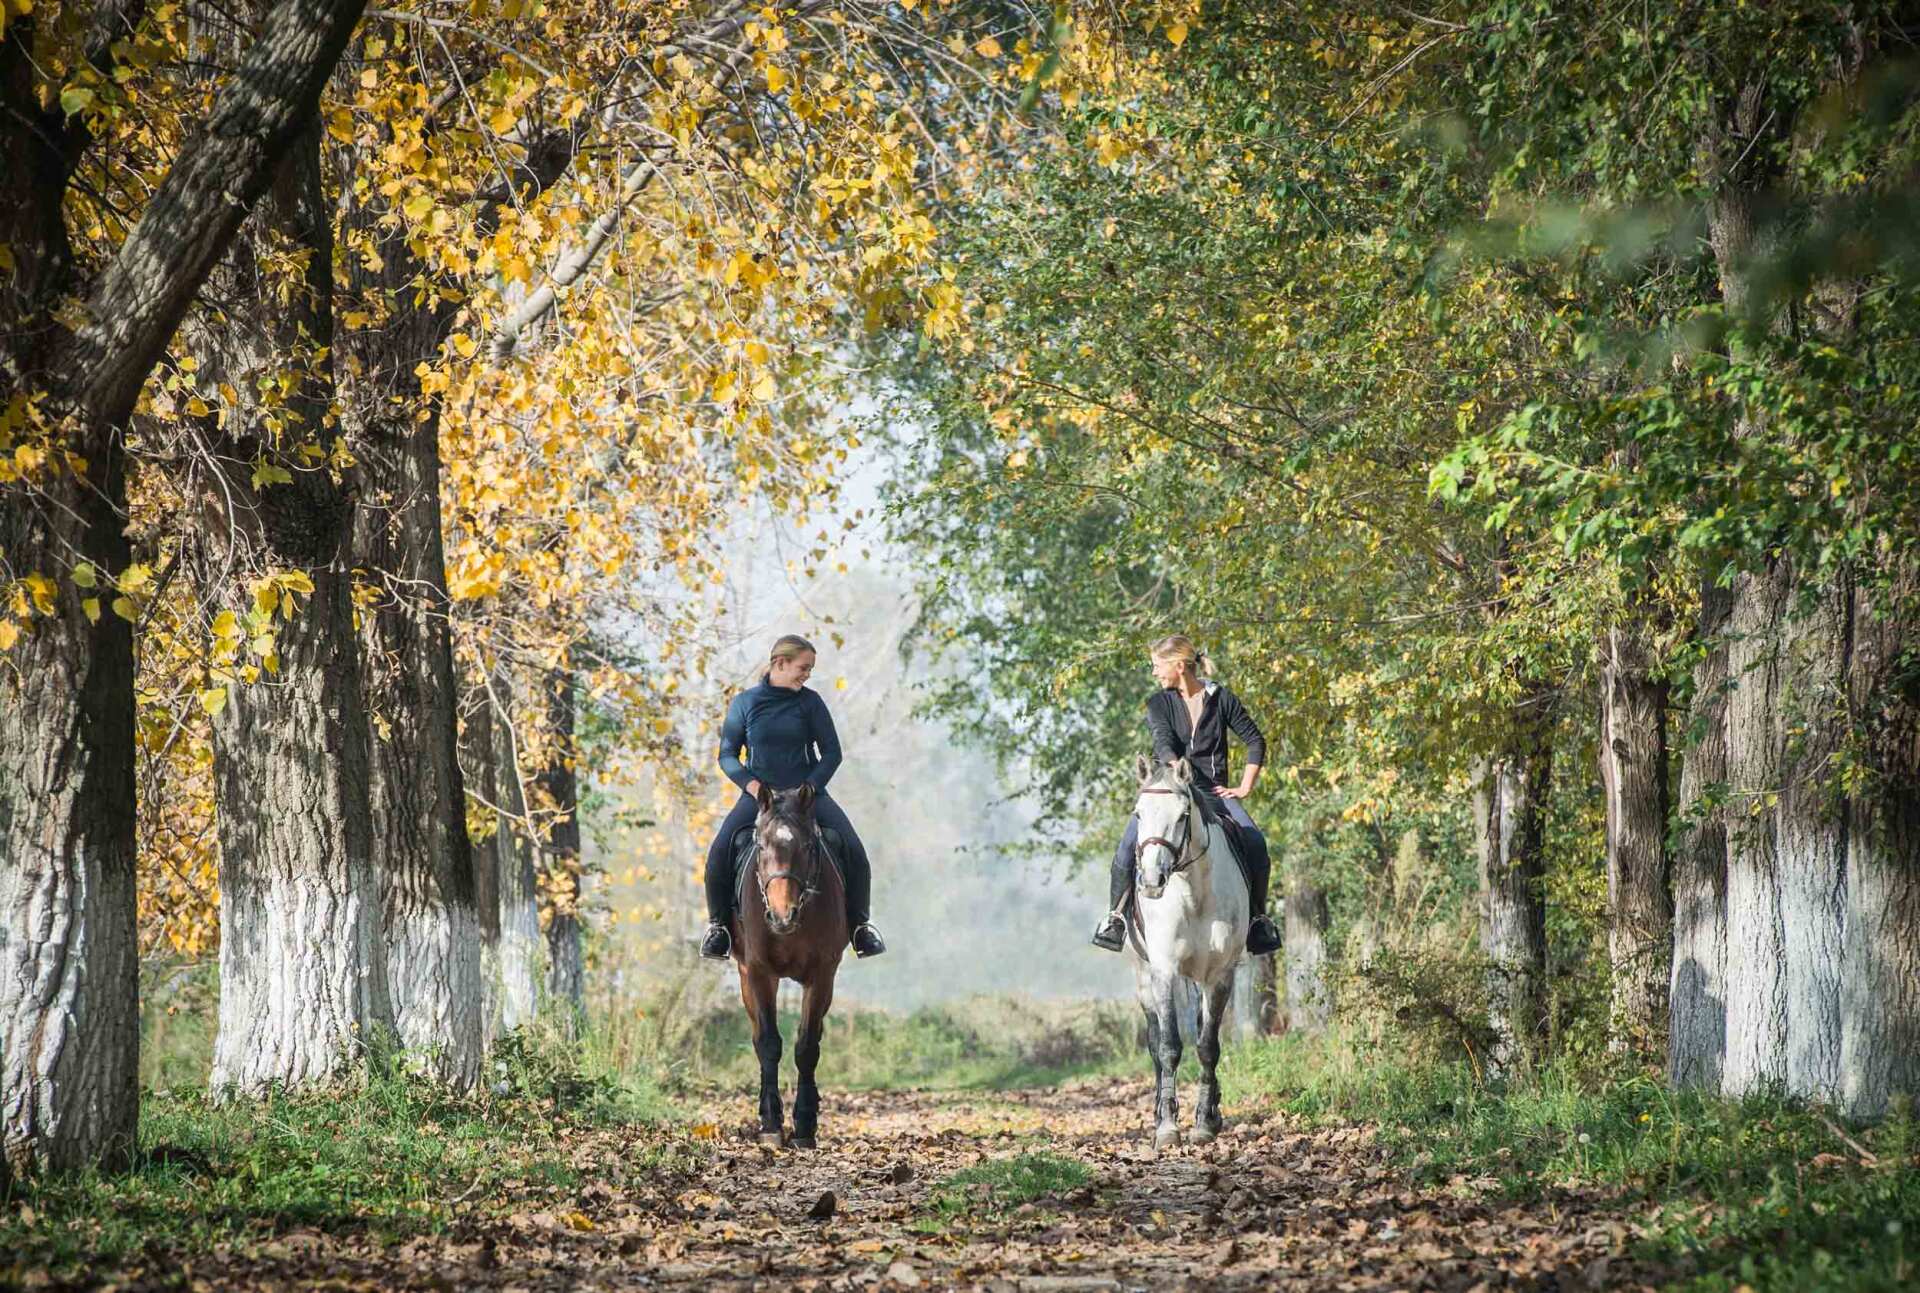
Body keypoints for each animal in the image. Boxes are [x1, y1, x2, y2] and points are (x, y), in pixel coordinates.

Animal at [730, 782, 847, 1148]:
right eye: (761, 845)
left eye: (808, 846)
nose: (783, 916)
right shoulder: (759, 971)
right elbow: (769, 1043)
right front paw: (771, 1124)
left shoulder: (822, 974)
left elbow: (807, 1046)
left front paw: (805, 1125)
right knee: (758, 1038)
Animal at [1125, 754, 1251, 1150]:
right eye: (1138, 814)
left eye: (1182, 815)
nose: (1151, 882)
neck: (1193, 894)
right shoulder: (1164, 971)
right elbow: (1168, 1046)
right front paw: (1167, 1126)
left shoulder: (1220, 975)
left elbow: (1208, 1045)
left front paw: (1205, 1122)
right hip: (1143, 976)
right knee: (1154, 1042)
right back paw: (1157, 1112)